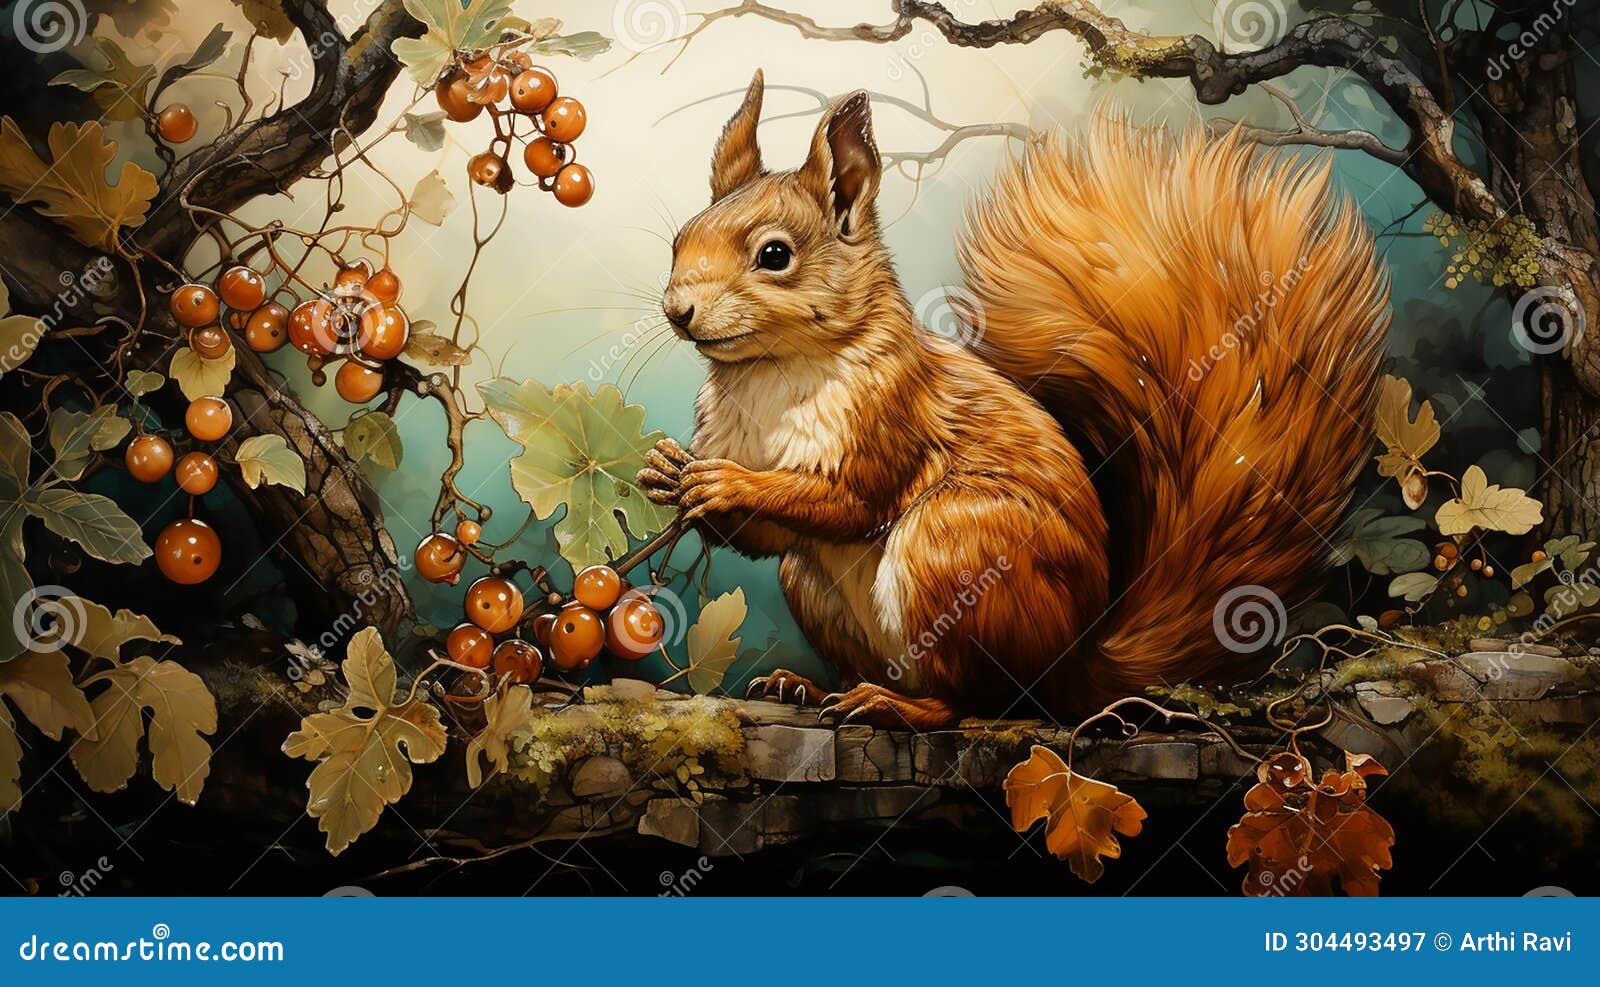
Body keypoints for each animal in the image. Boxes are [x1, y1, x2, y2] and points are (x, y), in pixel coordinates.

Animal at [637, 70, 1389, 730]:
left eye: (774, 255)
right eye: (678, 240)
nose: (678, 310)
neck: (769, 373)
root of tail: (1073, 661)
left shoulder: (892, 418)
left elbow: (853, 499)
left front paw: (728, 482)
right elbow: (762, 539)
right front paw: (665, 470)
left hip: (955, 550)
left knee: (974, 701)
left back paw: (893, 706)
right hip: (817, 586)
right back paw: (809, 685)